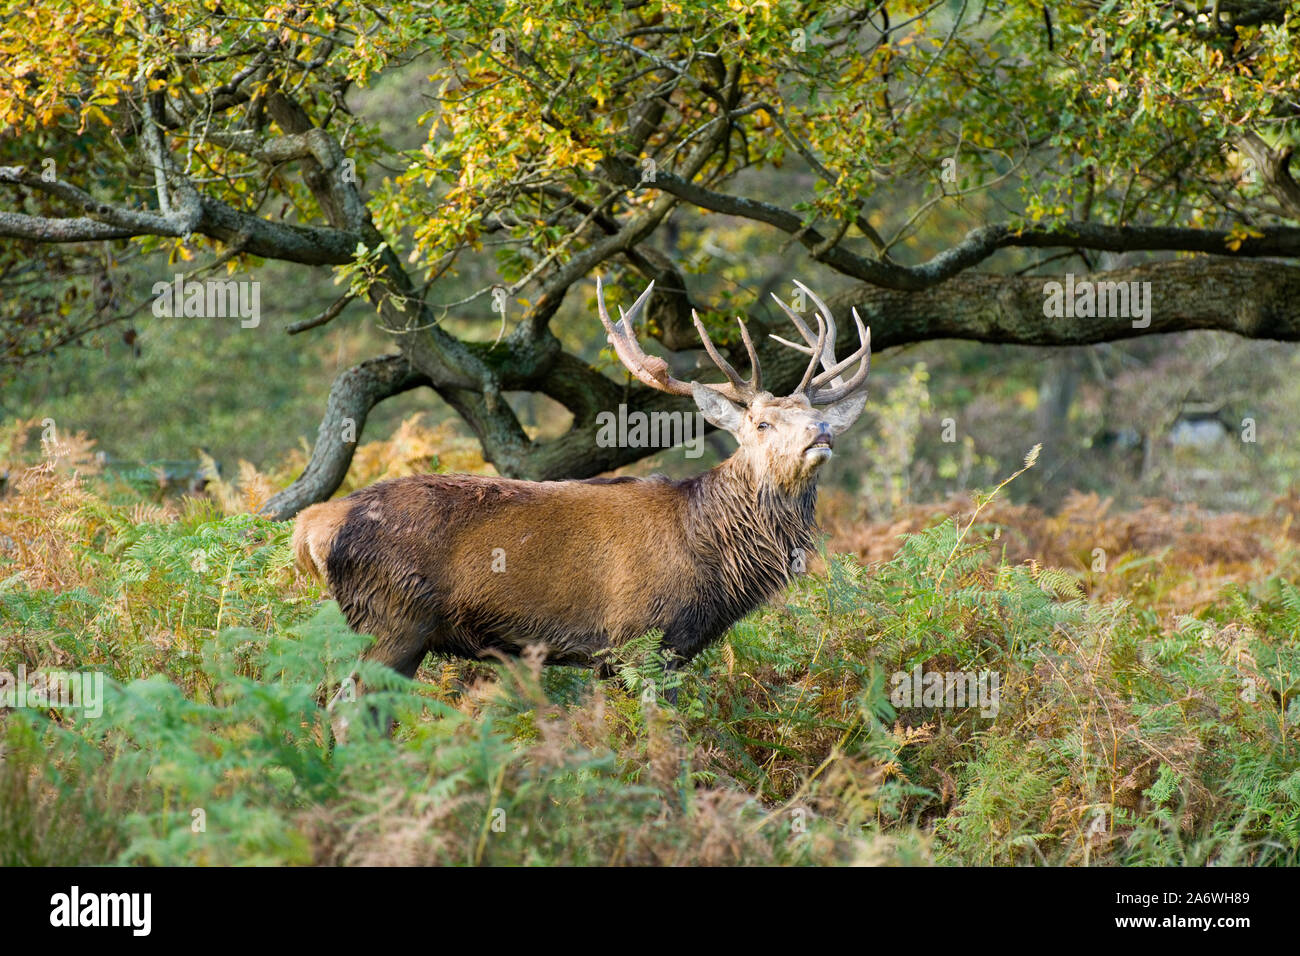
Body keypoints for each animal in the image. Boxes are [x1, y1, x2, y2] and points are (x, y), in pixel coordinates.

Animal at [293, 278, 870, 714]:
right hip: (390, 619)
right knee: (348, 711)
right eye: (762, 422)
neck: (710, 553)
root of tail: (314, 526)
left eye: (813, 413)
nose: (822, 432)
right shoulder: (640, 638)